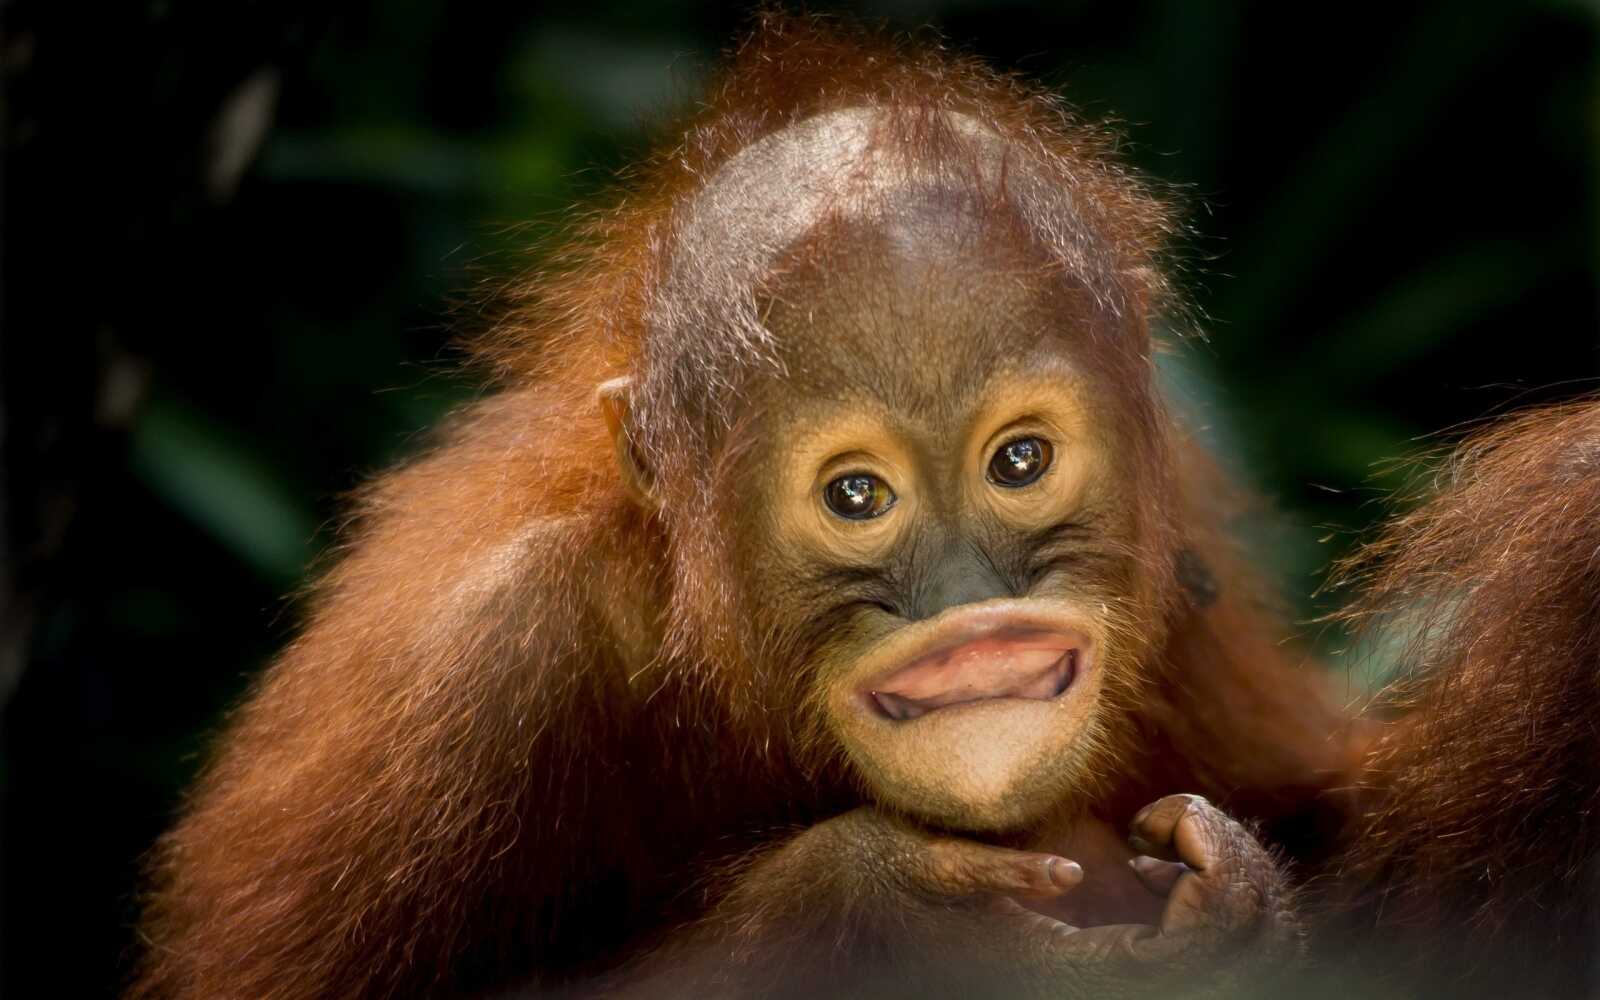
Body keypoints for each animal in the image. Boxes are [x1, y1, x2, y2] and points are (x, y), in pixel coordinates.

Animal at [128, 15, 1600, 1000]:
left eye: (1019, 462)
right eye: (857, 494)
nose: (971, 612)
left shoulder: (1187, 573)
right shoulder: (485, 663)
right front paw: (892, 910)